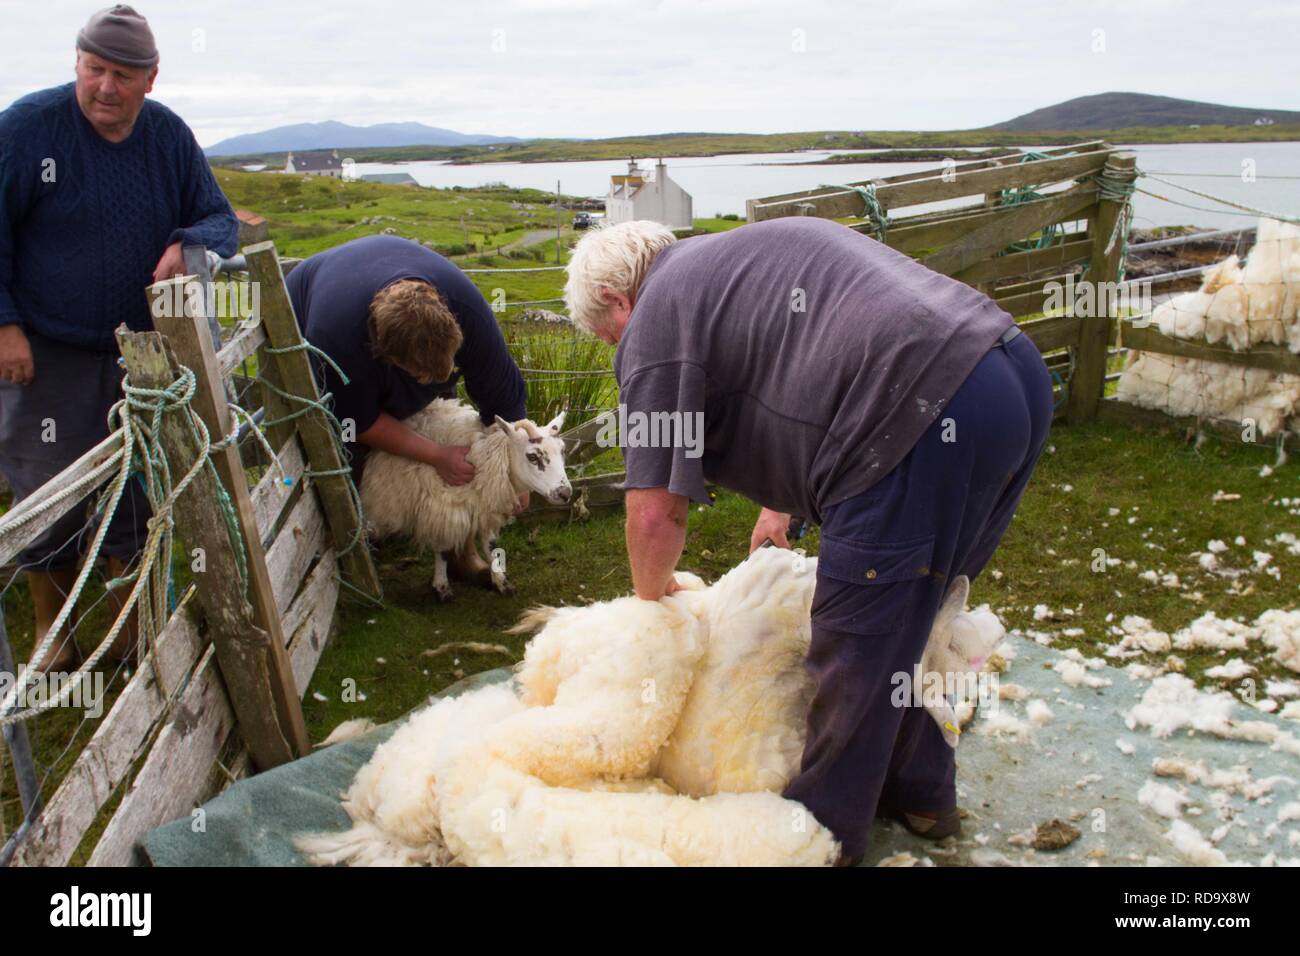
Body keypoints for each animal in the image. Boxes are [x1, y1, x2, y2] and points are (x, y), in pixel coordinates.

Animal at [359, 399, 573, 600]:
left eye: (562, 451)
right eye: (533, 457)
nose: (565, 493)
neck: (482, 460)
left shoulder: (486, 507)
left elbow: (491, 546)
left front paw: (502, 583)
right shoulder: (442, 508)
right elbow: (444, 550)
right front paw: (442, 588)